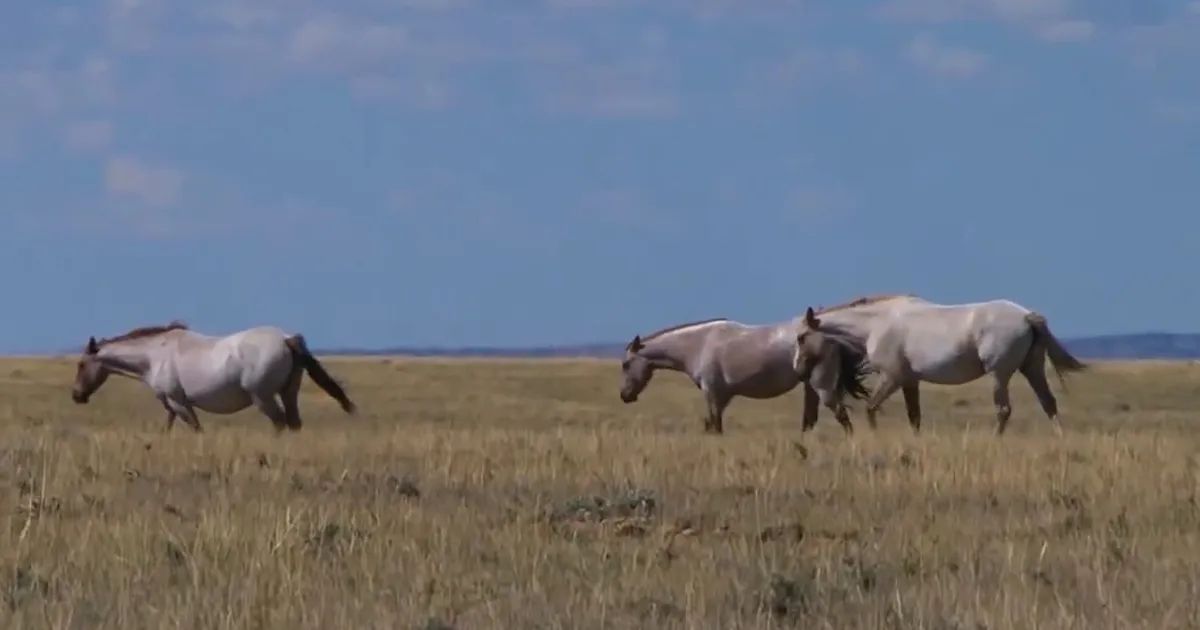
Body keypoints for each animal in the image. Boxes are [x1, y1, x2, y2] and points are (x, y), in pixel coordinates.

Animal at [71, 321, 357, 433]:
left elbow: (197, 429)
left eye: (82, 364)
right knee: (293, 424)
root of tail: (287, 339)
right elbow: (167, 428)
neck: (153, 355)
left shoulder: (179, 402)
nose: (76, 396)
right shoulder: (171, 405)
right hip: (288, 392)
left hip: (262, 398)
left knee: (280, 423)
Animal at [618, 316, 871, 435]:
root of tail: (826, 335)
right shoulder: (721, 397)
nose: (624, 396)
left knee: (842, 416)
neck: (699, 344)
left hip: (823, 387)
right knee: (810, 420)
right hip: (811, 388)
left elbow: (716, 427)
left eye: (625, 364)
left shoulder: (713, 394)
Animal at [791, 294, 1085, 435]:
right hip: (1032, 368)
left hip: (999, 375)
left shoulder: (892, 378)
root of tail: (1026, 316)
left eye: (801, 337)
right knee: (1049, 403)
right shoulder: (910, 381)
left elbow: (871, 408)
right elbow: (915, 417)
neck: (877, 323)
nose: (798, 369)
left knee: (1003, 410)